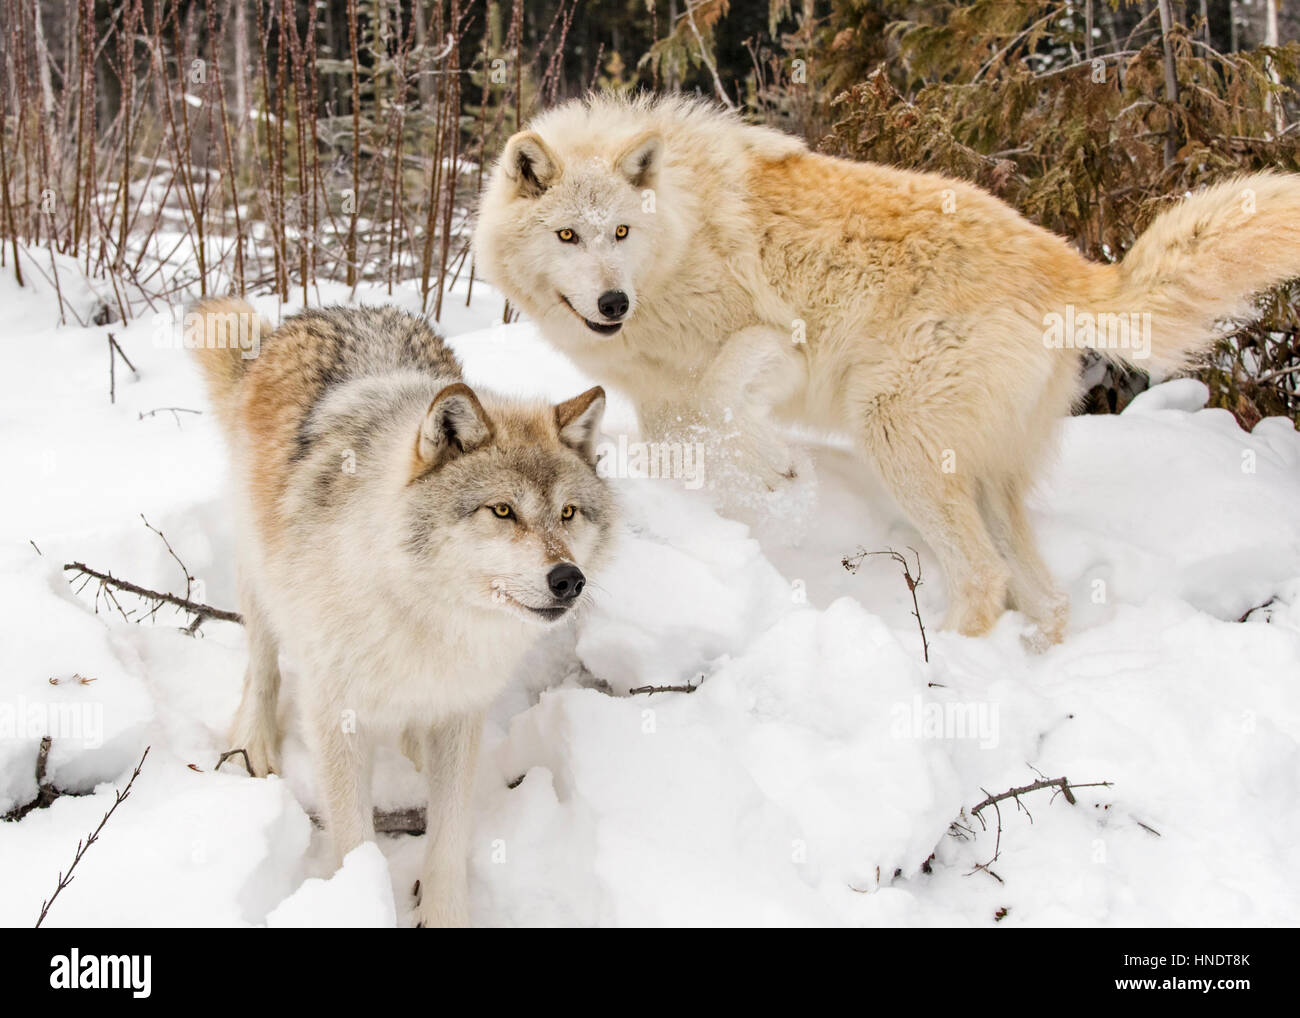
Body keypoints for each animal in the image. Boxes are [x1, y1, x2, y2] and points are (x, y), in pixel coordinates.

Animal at [191, 299, 615, 926]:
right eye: (503, 511)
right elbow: (354, 839)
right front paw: (359, 903)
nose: (569, 580)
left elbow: (449, 832)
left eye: (567, 513)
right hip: (258, 571)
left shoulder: (462, 708)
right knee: (262, 665)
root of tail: (321, 312)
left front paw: (442, 912)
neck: (425, 609)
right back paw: (254, 743)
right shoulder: (336, 713)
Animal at [473, 92, 1300, 645]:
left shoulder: (775, 342)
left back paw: (943, 670)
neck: (675, 238)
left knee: (984, 579)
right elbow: (700, 445)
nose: (612, 301)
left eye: (620, 231)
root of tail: (1067, 263)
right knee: (1045, 595)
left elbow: (727, 397)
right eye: (568, 235)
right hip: (980, 479)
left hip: (894, 437)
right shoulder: (661, 402)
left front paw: (782, 475)